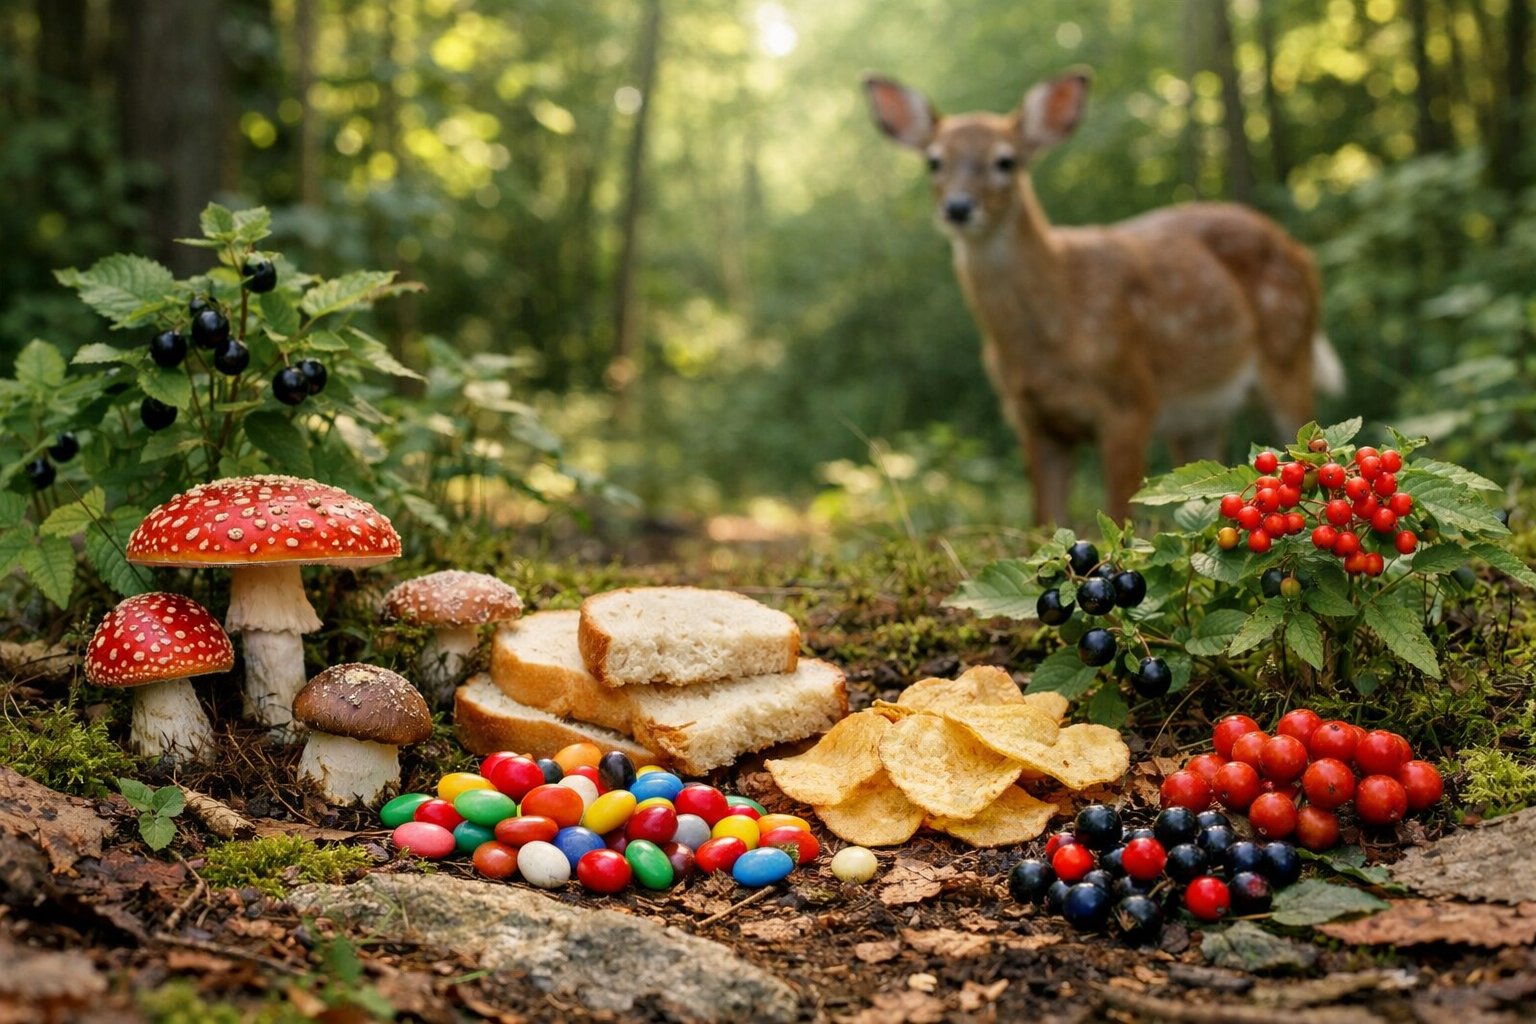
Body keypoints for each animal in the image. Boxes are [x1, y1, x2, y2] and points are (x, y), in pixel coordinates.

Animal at [864, 71, 1344, 525]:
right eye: (933, 161)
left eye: (1005, 161)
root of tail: (1301, 252)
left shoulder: (1129, 399)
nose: (959, 207)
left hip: (1288, 351)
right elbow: (1044, 520)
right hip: (1202, 409)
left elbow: (1119, 510)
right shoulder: (1032, 417)